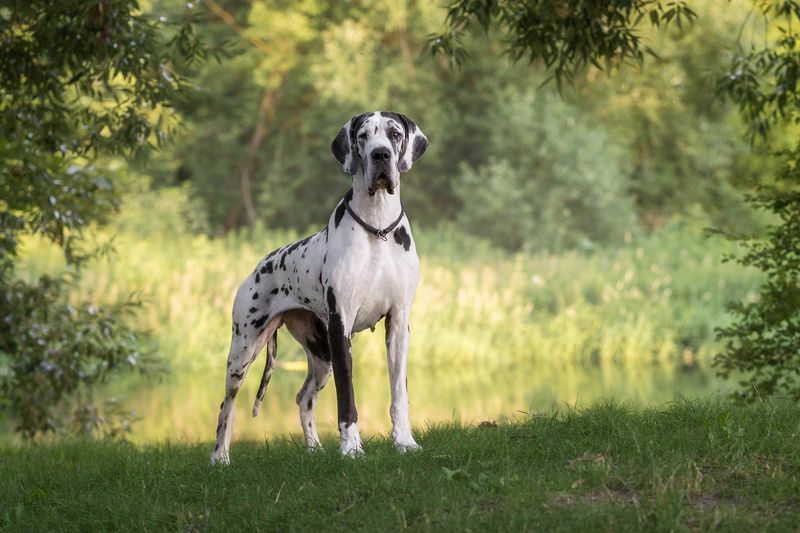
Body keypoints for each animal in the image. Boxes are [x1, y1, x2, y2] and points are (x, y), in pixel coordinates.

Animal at [209, 109, 428, 462]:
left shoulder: (398, 324)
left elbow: (399, 394)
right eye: (363, 136)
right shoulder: (341, 327)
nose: (381, 155)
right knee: (226, 404)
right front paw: (351, 448)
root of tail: (261, 263)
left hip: (321, 355)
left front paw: (404, 441)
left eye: (395, 134)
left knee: (303, 397)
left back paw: (313, 448)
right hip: (243, 350)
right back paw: (220, 457)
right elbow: (347, 399)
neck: (377, 227)